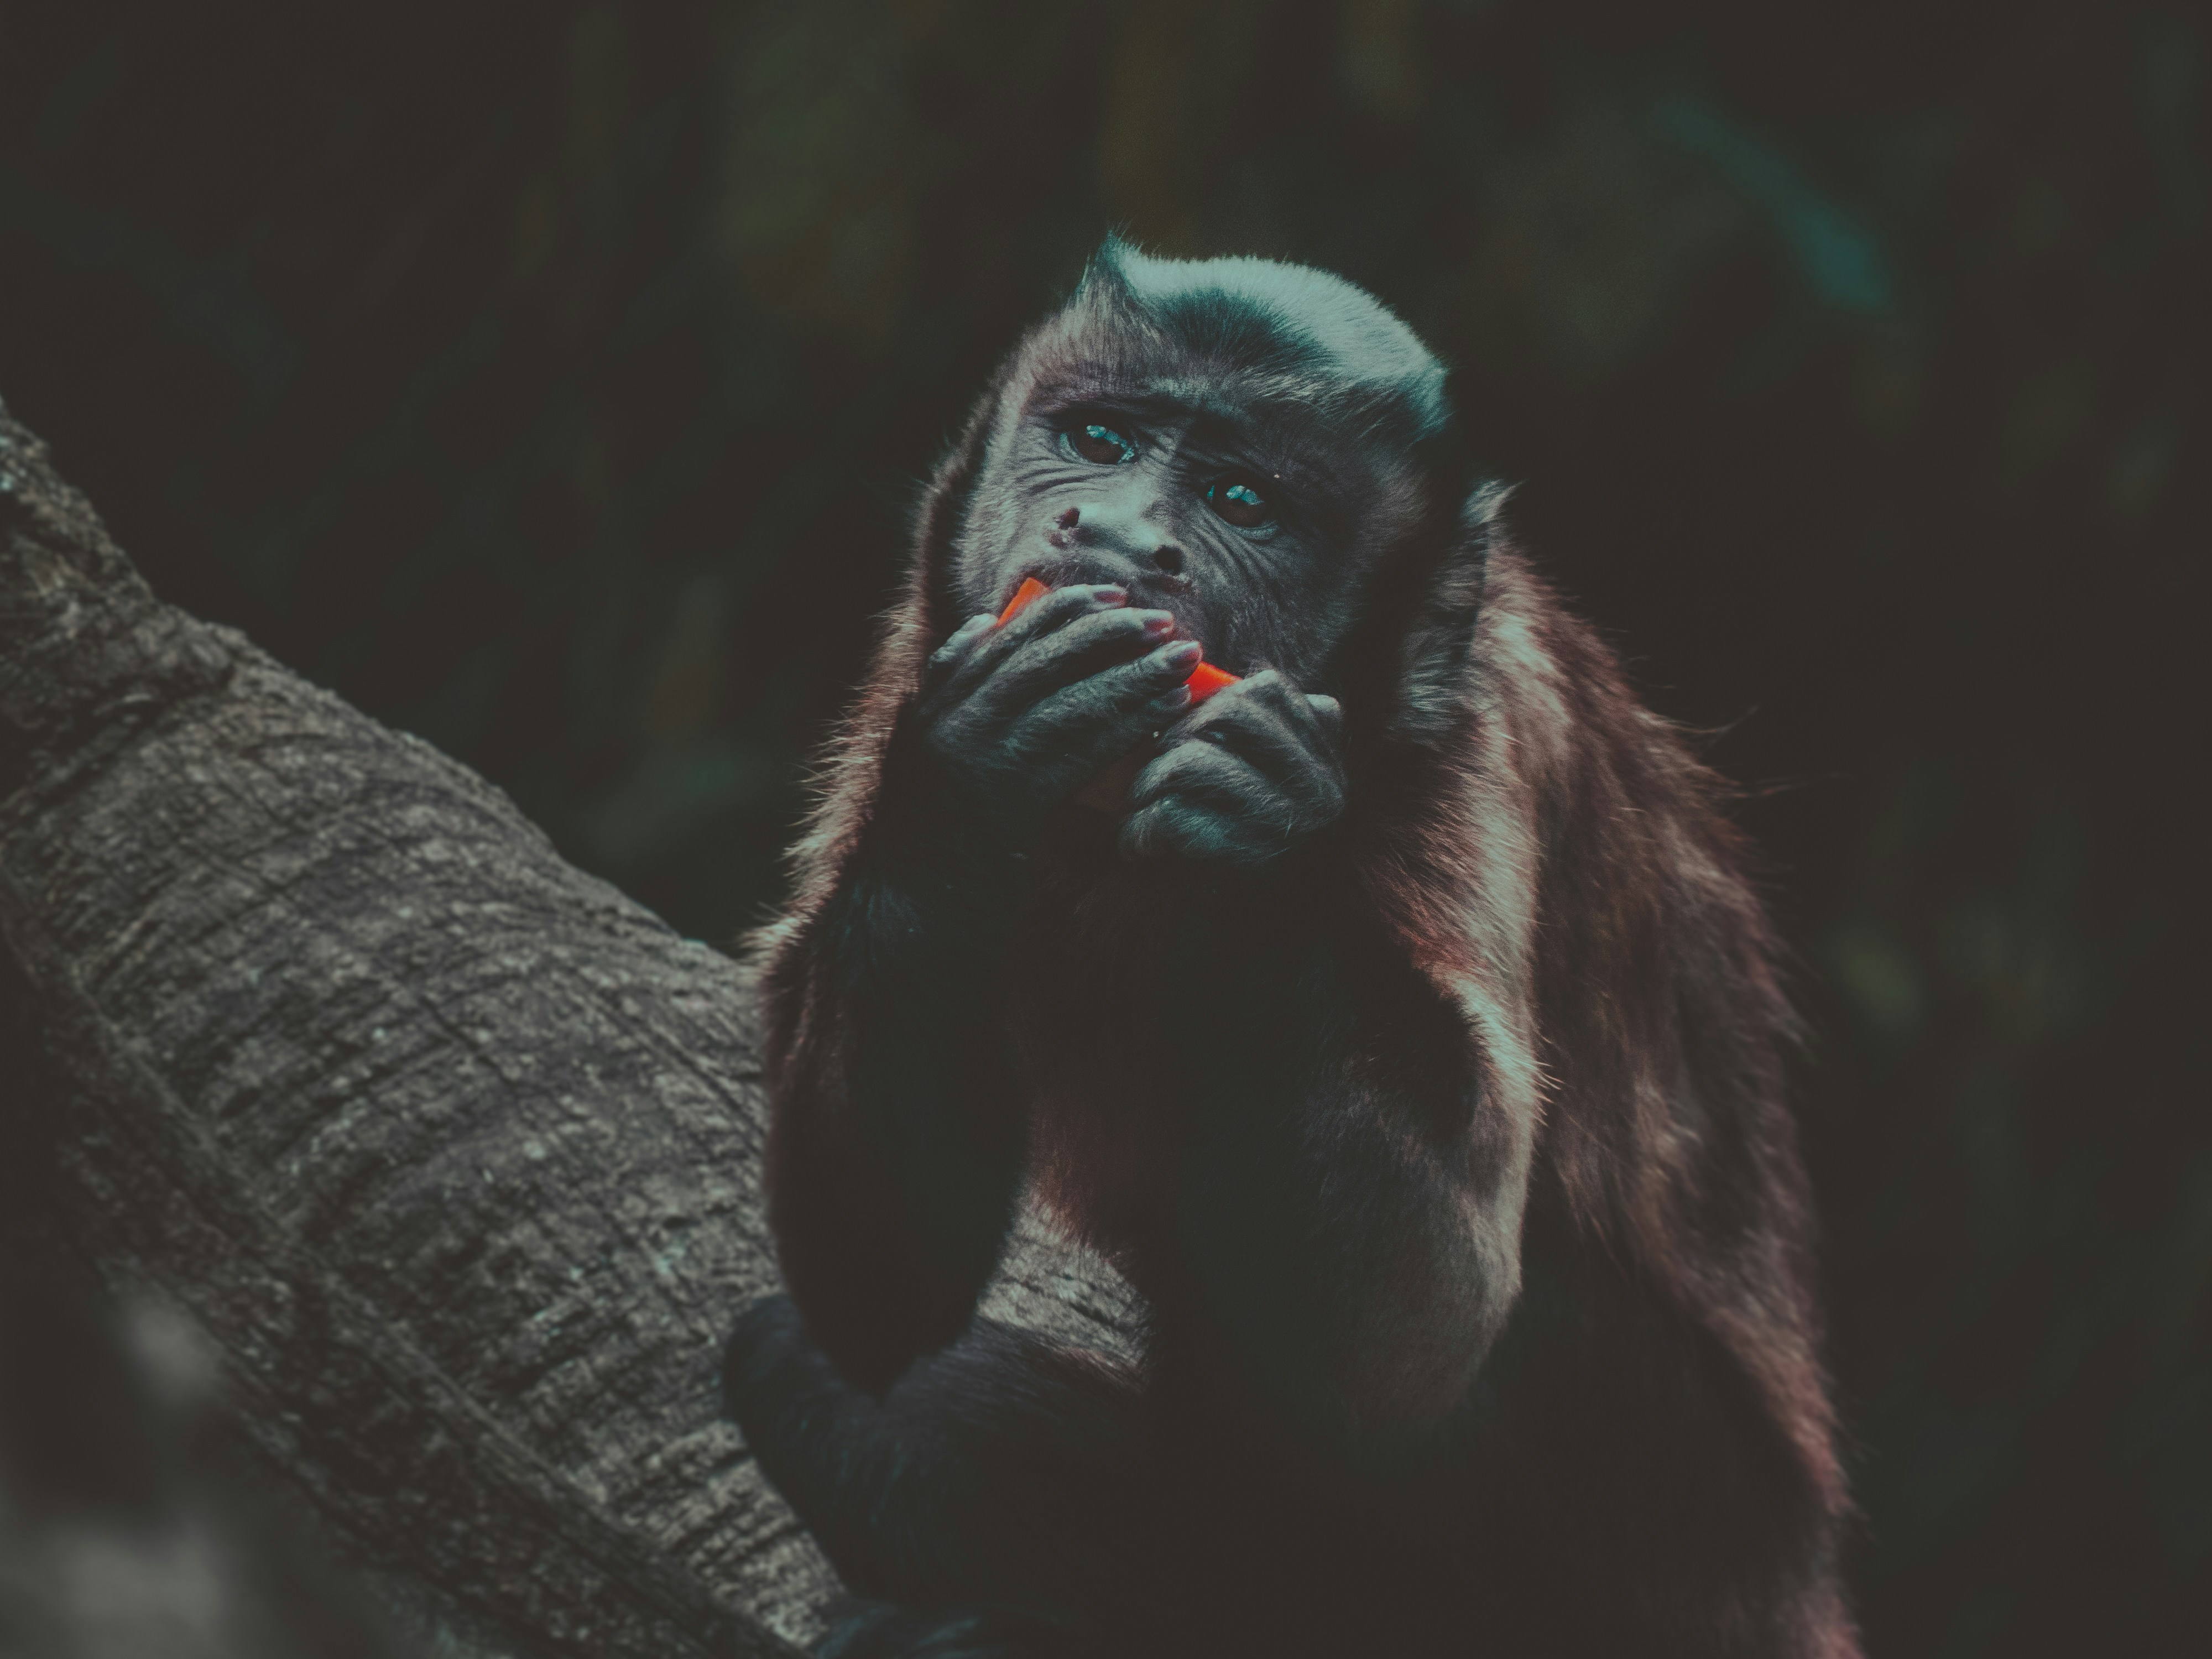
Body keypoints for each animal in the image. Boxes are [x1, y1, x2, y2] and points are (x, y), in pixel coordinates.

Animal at [723, 241, 1859, 1658]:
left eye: (1239, 502)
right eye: (1099, 441)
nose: (1116, 534)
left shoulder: (1465, 740)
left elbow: (1412, 1343)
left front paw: (1252, 847)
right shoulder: (917, 660)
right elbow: (874, 1300)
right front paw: (972, 779)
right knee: (803, 1366)